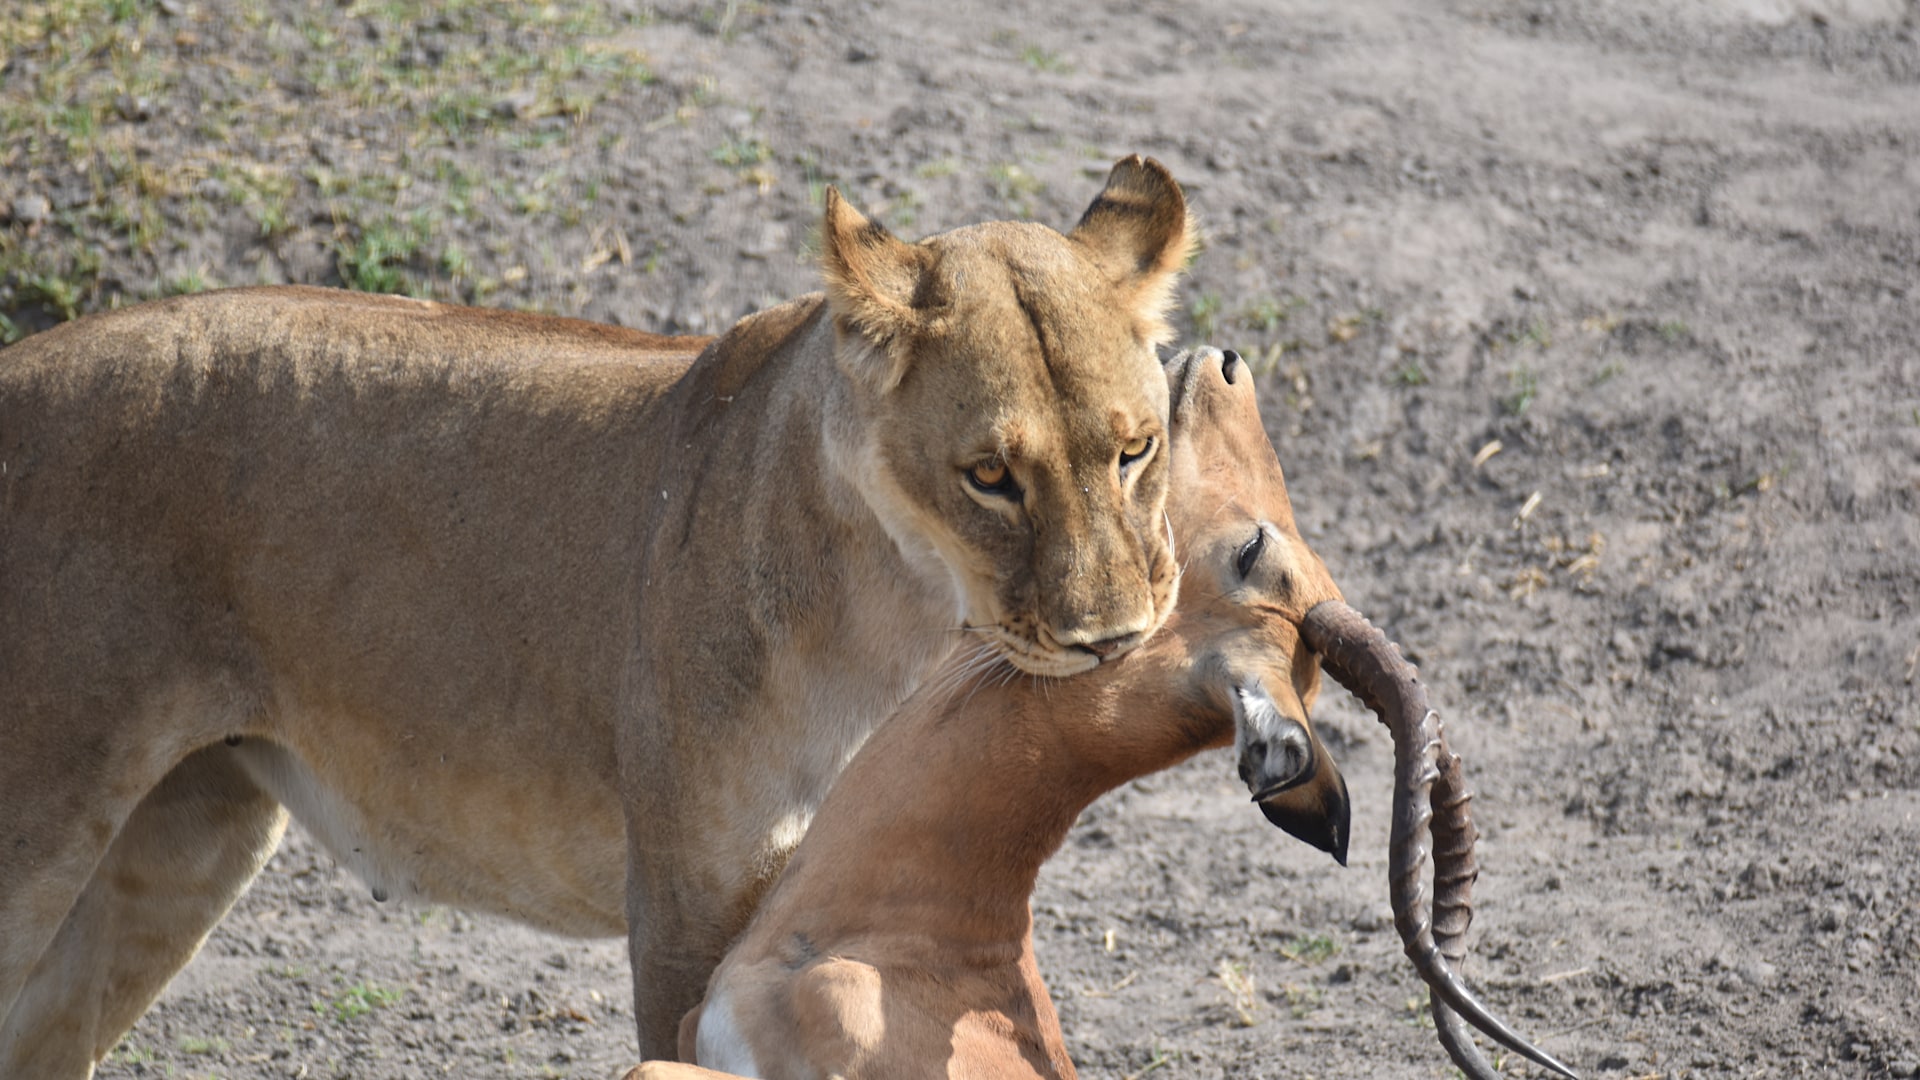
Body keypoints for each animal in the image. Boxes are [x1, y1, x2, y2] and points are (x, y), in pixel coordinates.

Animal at [0, 156, 1194, 1077]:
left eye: (1137, 449)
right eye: (990, 476)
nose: (1111, 640)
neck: (908, 618)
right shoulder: (684, 919)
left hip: (187, 833)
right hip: (40, 825)